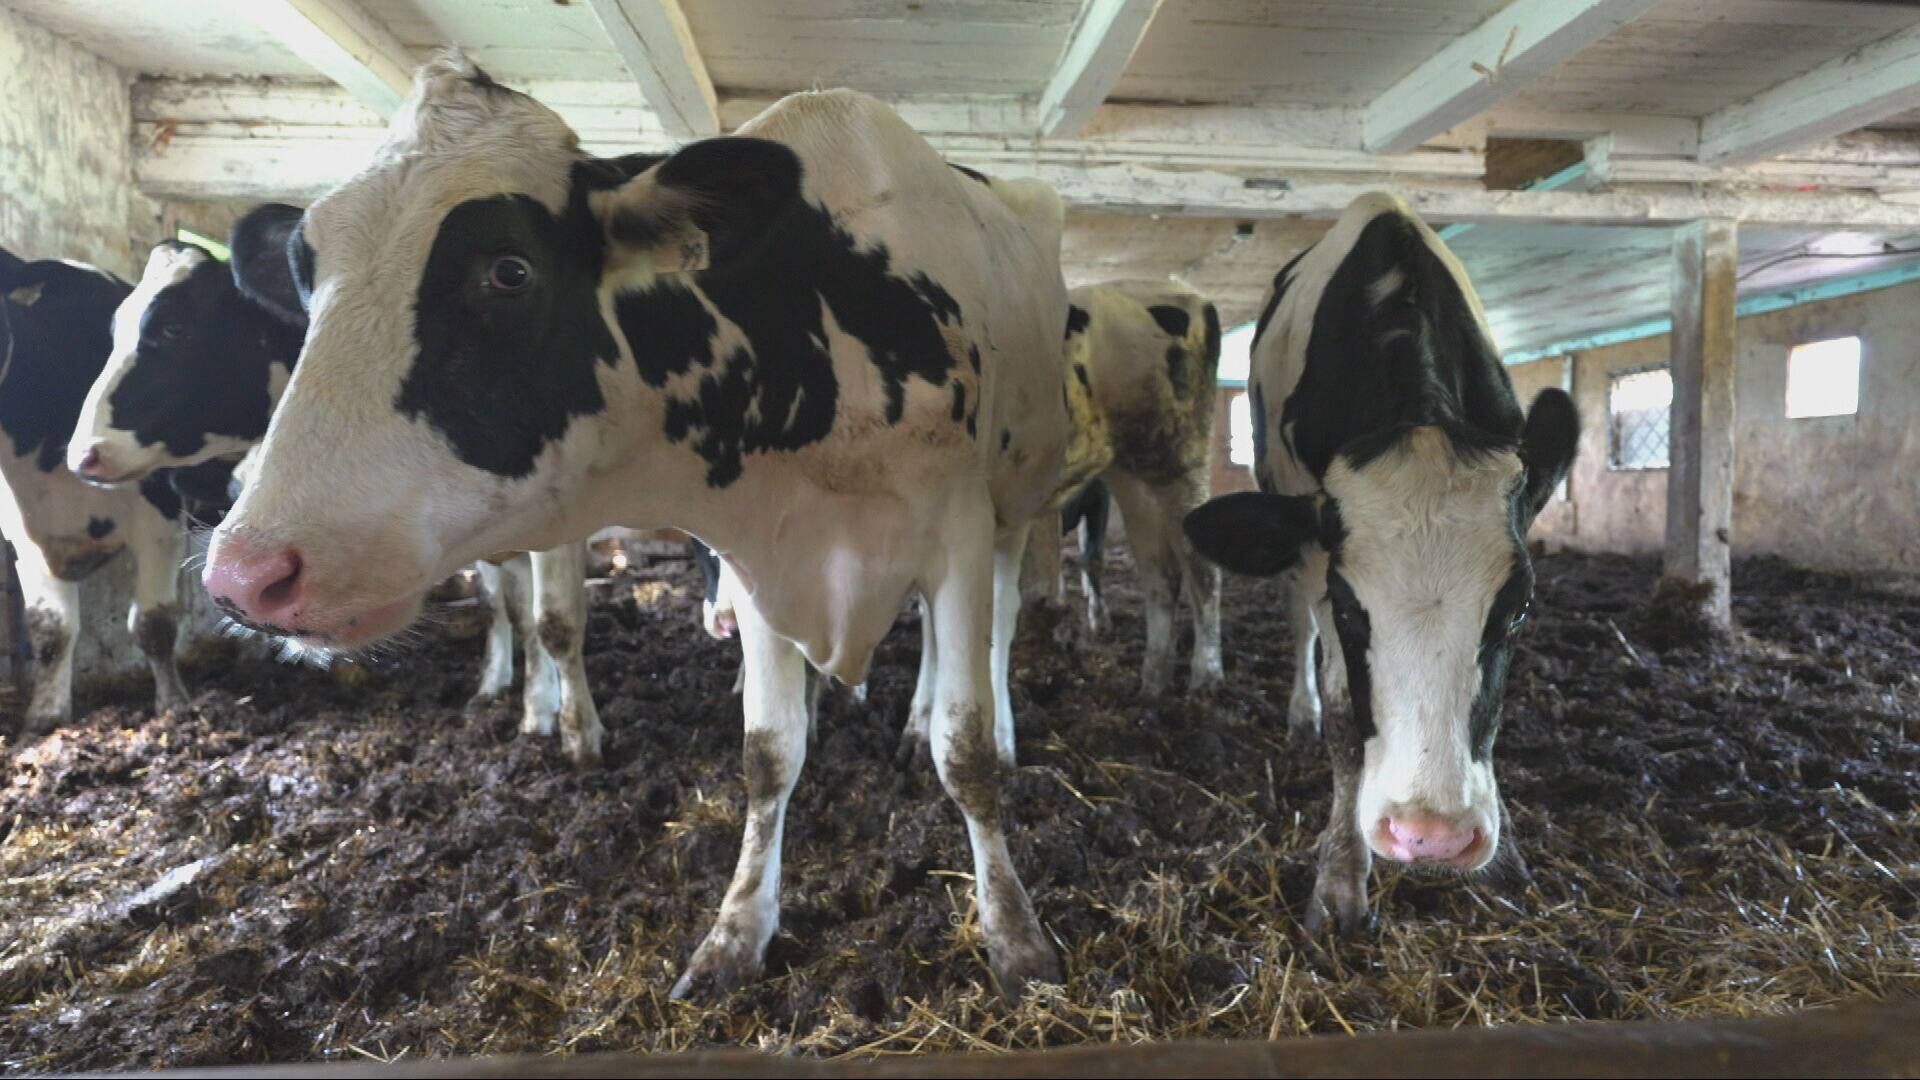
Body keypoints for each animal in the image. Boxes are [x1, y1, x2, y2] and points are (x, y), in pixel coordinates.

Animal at [0, 248, 226, 730]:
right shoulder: (25, 531)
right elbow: (49, 628)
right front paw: (44, 717)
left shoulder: (156, 512)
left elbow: (153, 624)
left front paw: (173, 706)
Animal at [65, 232, 605, 768]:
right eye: (115, 327)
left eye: (174, 327)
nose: (82, 453)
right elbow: (505, 608)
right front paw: (516, 699)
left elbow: (554, 622)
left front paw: (577, 733)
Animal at [202, 56, 1071, 999]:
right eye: (306, 275)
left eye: (509, 271)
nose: (246, 576)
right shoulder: (764, 555)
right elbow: (769, 752)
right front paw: (737, 929)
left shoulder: (955, 531)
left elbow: (966, 749)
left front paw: (1015, 932)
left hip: (1017, 501)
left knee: (991, 634)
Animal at [1056, 281, 1224, 692]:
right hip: (1131, 475)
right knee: (1159, 571)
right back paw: (1153, 681)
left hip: (1177, 462)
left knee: (1199, 565)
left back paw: (1205, 675)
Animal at [1183, 193, 1578, 934]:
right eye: (1348, 606)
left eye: (1519, 612)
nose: (1432, 837)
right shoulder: (1314, 548)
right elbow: (1344, 713)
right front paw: (1340, 879)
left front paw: (1506, 854)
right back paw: (1300, 714)